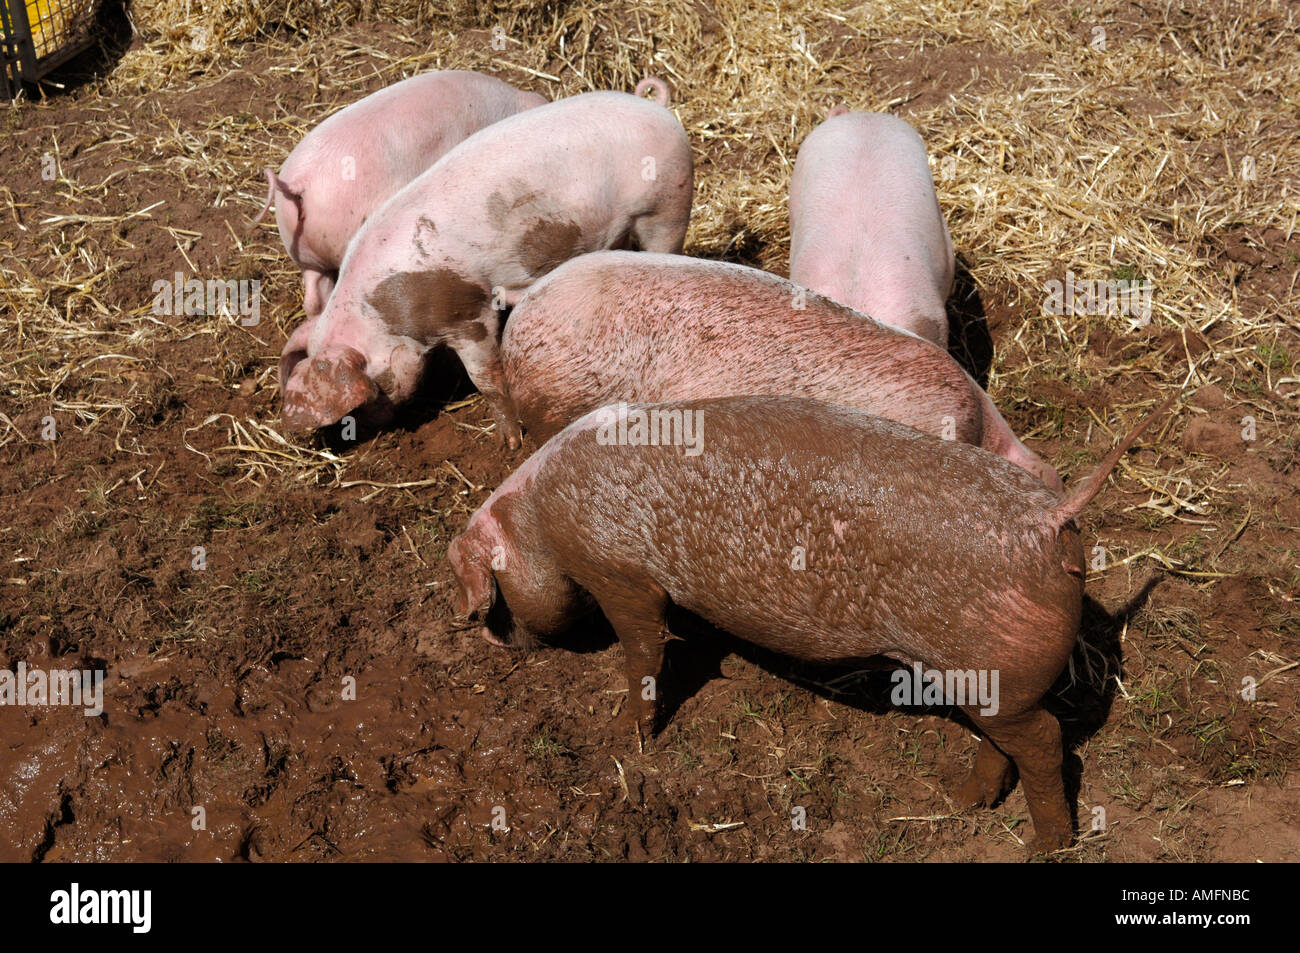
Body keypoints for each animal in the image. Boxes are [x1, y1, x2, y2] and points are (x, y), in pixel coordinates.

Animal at [278, 91, 694, 448]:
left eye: (371, 387)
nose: (378, 431)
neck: (383, 312)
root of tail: (657, 108)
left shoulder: (467, 312)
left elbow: (487, 378)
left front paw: (509, 443)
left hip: (668, 205)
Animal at [448, 392, 1177, 851]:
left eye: (495, 591)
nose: (501, 639)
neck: (539, 515)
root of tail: (1049, 517)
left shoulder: (620, 572)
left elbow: (643, 648)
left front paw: (623, 738)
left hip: (992, 665)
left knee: (1048, 741)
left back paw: (1046, 846)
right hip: (992, 678)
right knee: (1011, 738)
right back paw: (961, 800)